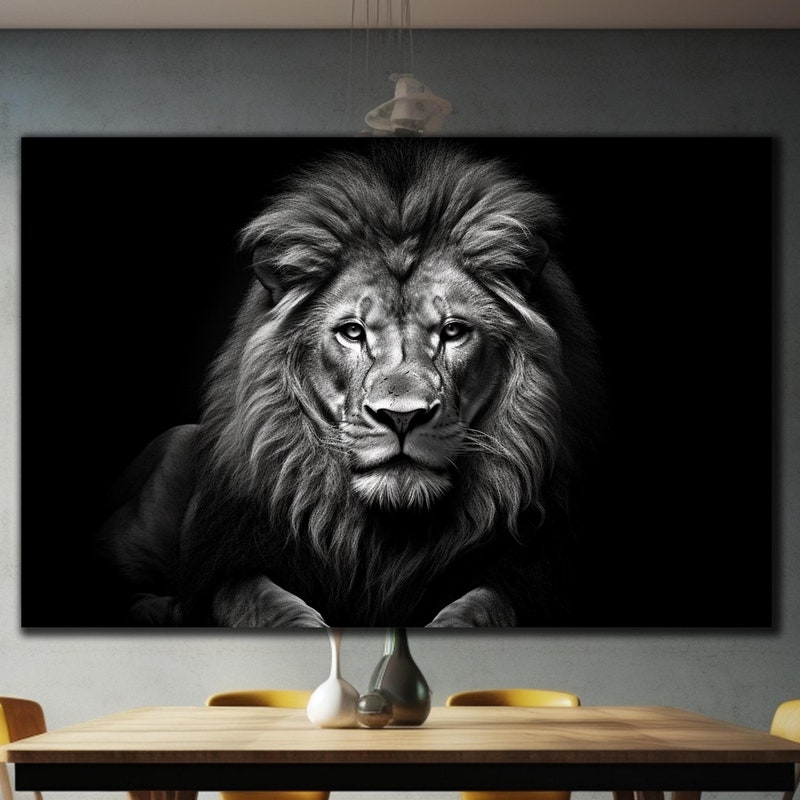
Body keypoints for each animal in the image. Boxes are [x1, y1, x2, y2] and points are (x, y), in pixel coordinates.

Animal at [97, 140, 605, 627]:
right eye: (353, 332)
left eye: (453, 331)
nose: (402, 418)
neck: (390, 537)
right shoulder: (233, 562)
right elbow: (262, 603)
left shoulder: (531, 573)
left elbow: (484, 607)